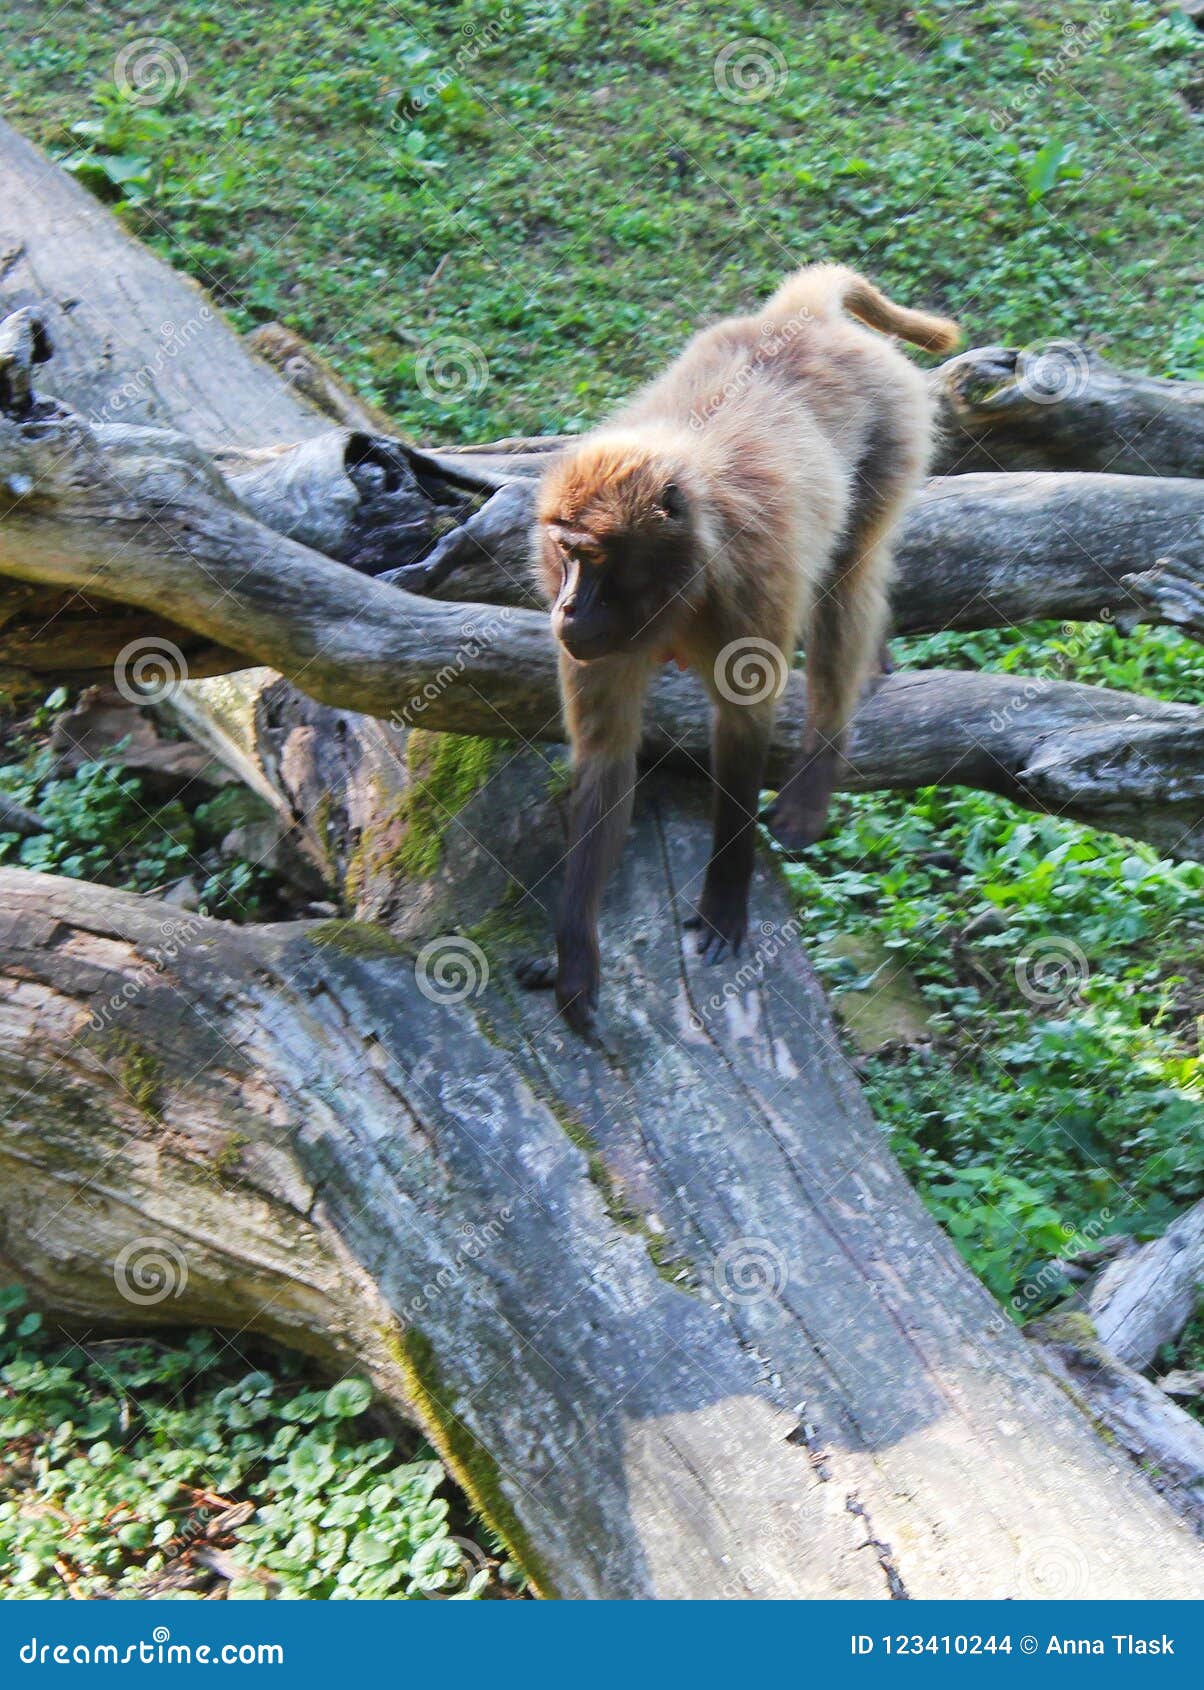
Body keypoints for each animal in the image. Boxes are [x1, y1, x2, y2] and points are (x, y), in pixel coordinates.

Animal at [520, 264, 959, 1032]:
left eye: (595, 559)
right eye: (566, 554)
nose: (566, 607)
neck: (686, 578)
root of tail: (803, 320)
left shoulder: (754, 580)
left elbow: (743, 724)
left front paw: (725, 898)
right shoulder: (599, 645)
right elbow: (606, 758)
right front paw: (575, 956)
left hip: (893, 420)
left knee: (848, 575)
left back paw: (826, 753)